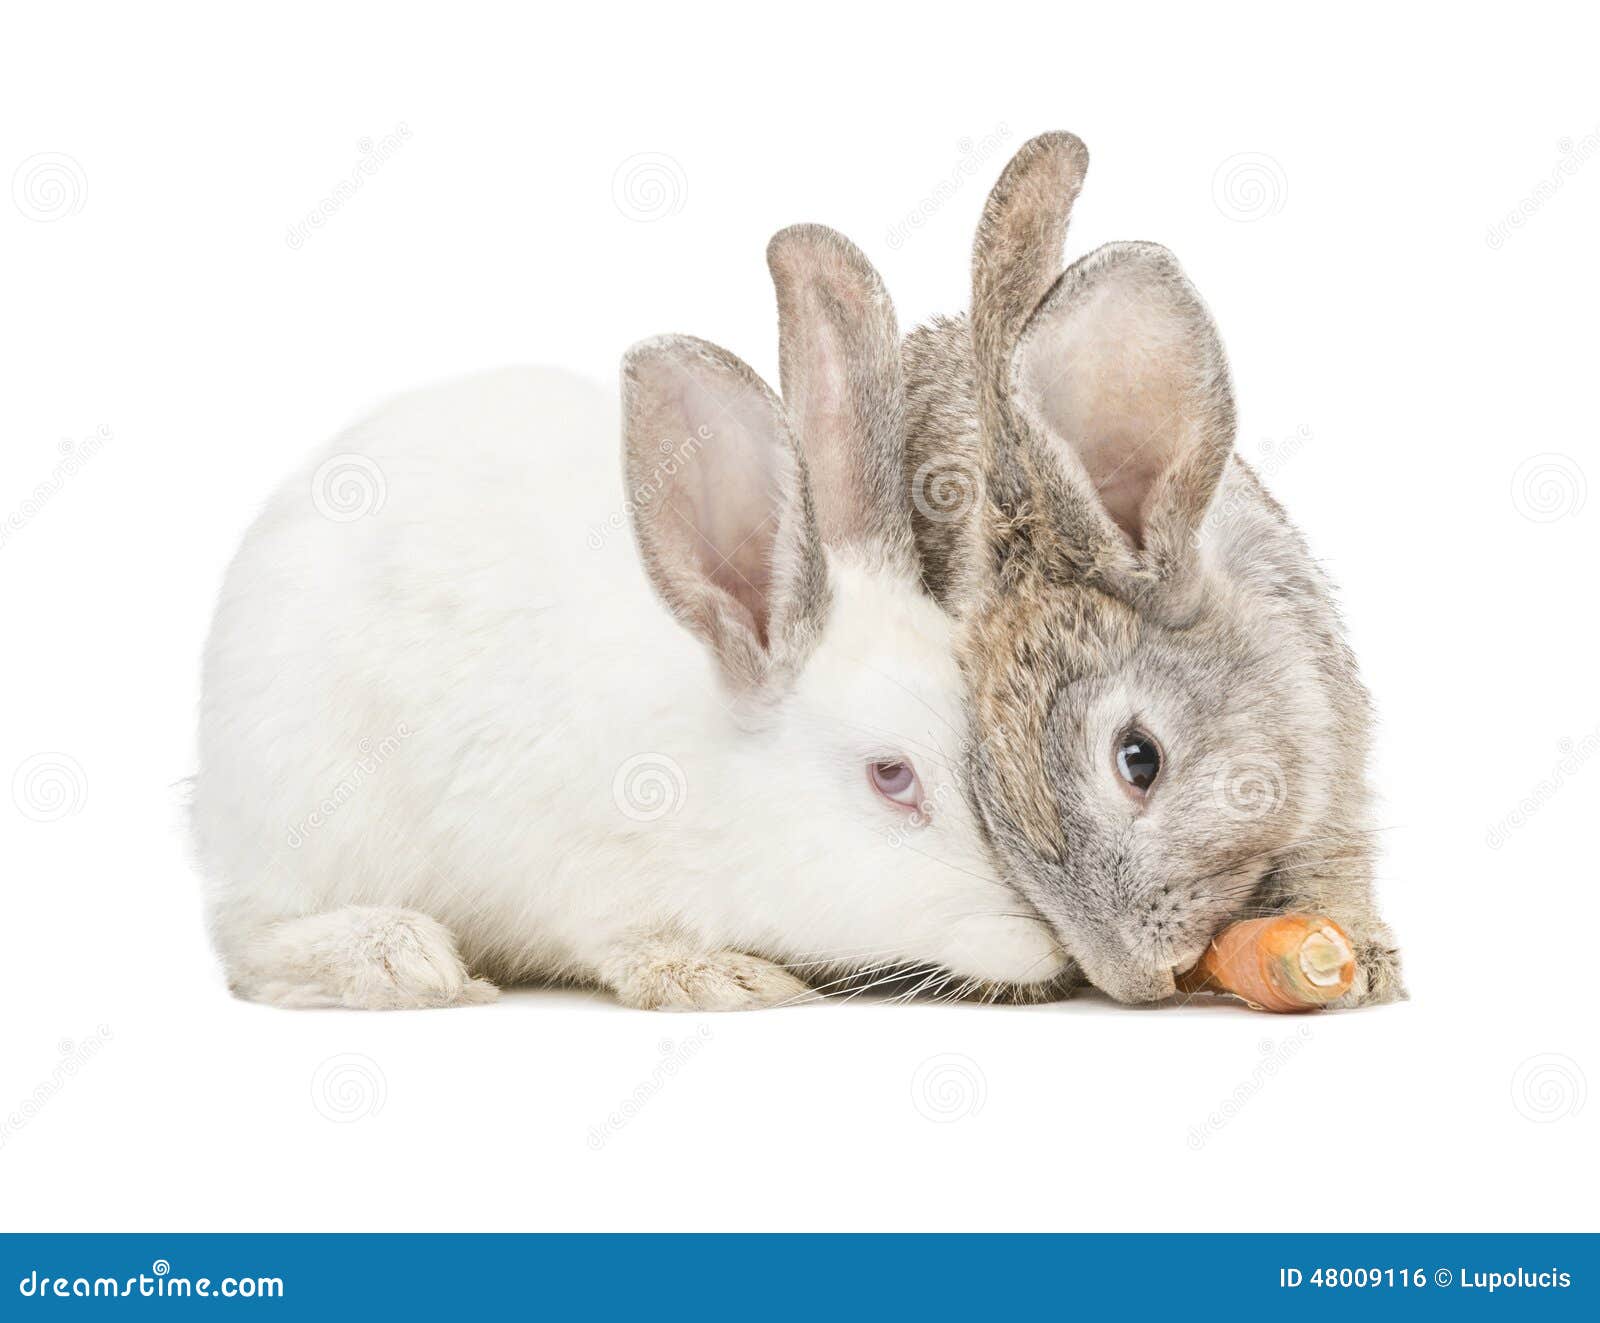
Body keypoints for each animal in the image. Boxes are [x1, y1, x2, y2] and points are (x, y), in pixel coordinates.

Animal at [190, 223, 1067, 1011]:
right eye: (891, 777)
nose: (1053, 947)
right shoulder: (581, 872)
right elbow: (637, 943)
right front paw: (725, 978)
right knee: (252, 942)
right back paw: (403, 959)